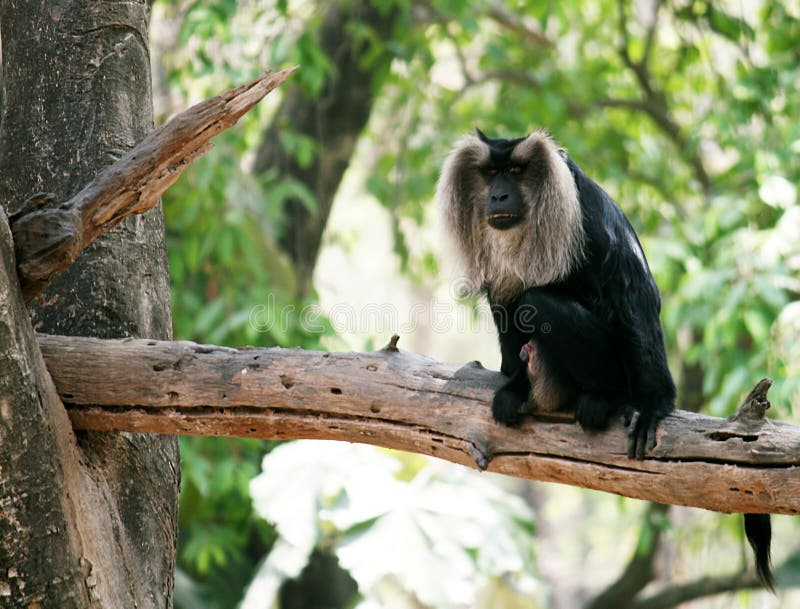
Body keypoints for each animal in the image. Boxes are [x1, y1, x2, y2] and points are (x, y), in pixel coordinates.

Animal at [437, 128, 774, 590]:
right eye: (490, 174)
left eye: (517, 172)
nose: (499, 196)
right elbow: (505, 300)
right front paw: (513, 382)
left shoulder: (589, 217)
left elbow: (633, 297)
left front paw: (652, 404)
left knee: (540, 301)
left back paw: (607, 398)